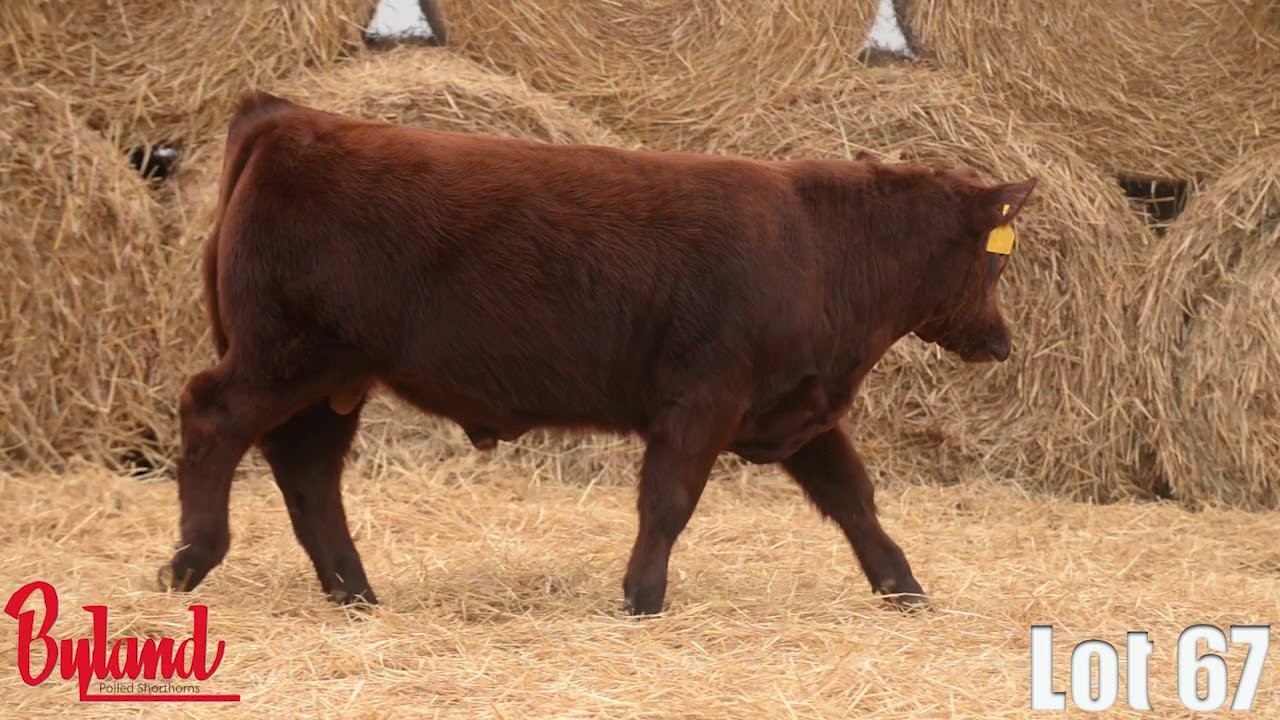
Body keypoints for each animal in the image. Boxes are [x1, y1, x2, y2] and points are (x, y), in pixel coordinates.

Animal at [157, 91, 1037, 616]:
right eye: (995, 262)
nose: (1001, 342)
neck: (822, 247)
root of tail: (287, 118)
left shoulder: (798, 408)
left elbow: (854, 497)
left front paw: (905, 586)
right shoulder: (702, 401)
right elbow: (669, 503)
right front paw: (642, 597)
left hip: (334, 378)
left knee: (307, 472)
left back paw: (354, 590)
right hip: (284, 357)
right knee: (212, 417)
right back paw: (191, 559)